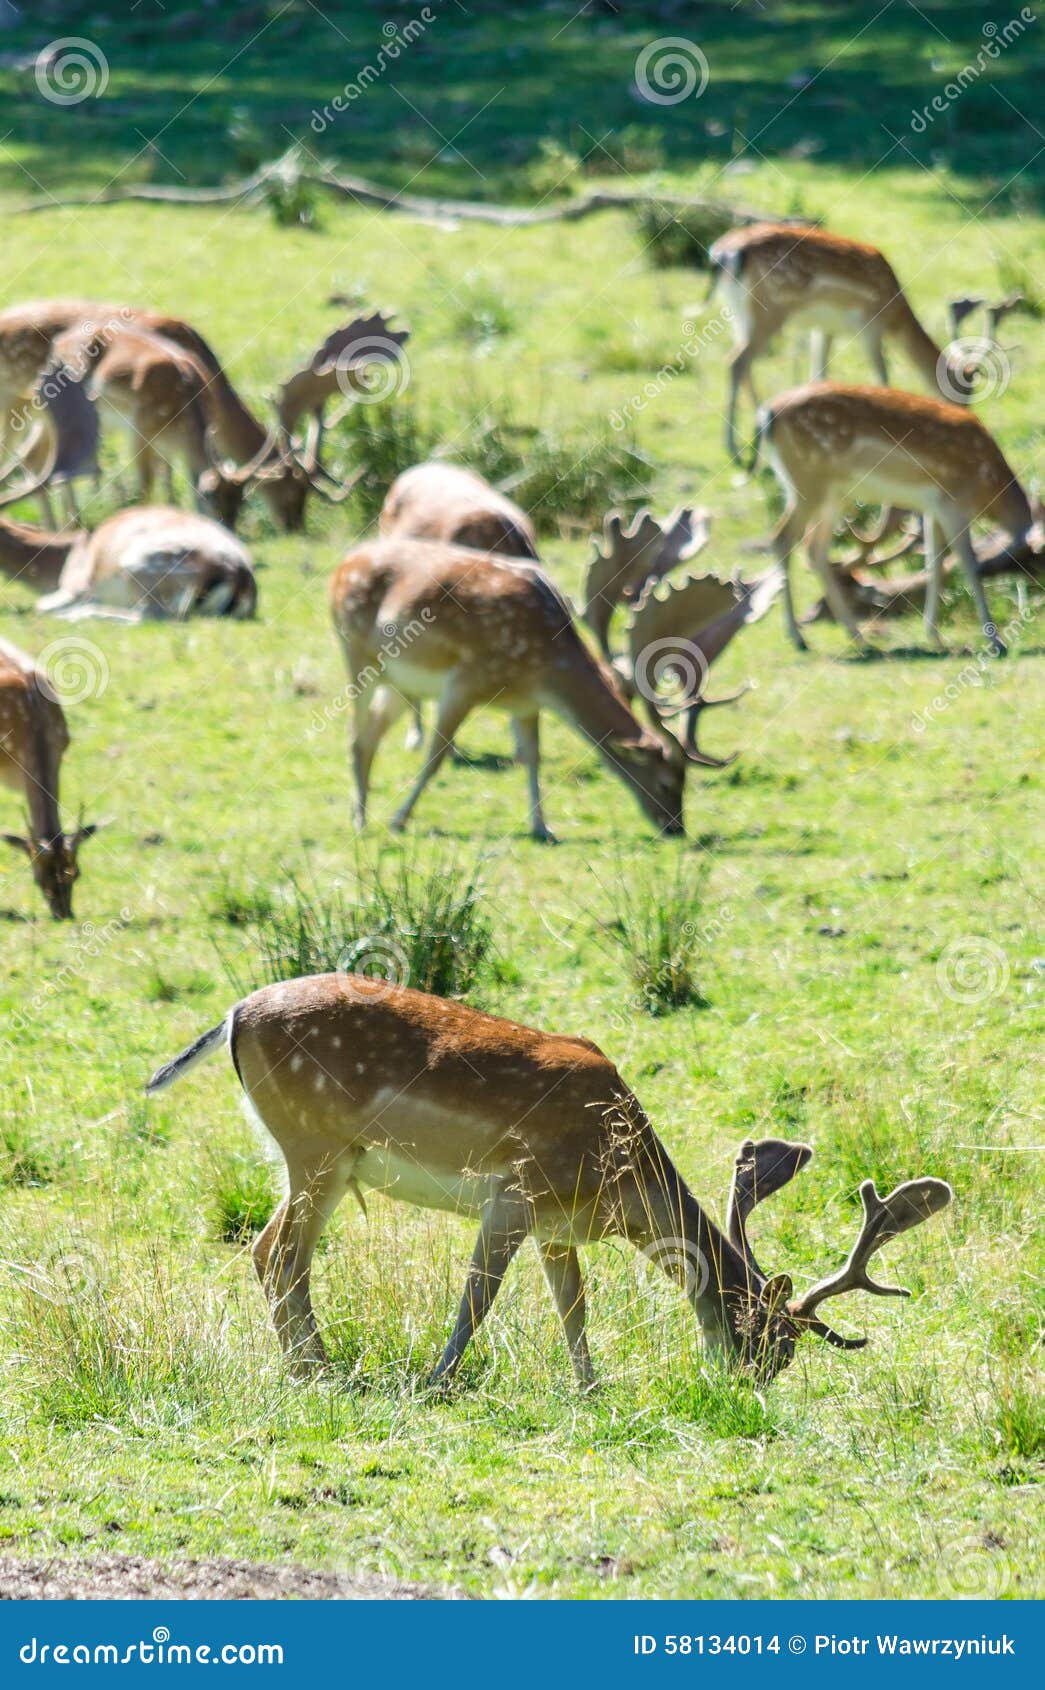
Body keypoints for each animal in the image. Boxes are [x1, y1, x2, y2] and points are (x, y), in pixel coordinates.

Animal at [146, 972, 954, 1390]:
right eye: (769, 1342)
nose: (746, 1391)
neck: (618, 1173)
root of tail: (234, 1014)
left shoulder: (557, 1230)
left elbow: (574, 1311)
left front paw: (591, 1389)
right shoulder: (516, 1194)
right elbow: (477, 1298)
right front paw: (436, 1382)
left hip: (314, 1159)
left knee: (269, 1251)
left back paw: (309, 1367)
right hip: (315, 1148)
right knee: (280, 1255)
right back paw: (319, 1373)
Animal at [329, 535, 717, 842]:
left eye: (685, 781)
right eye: (667, 782)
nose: (676, 828)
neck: (544, 668)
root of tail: (341, 566)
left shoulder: (527, 704)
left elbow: (533, 758)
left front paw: (543, 828)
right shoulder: (465, 681)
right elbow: (436, 757)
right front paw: (400, 819)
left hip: (398, 682)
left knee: (370, 735)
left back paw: (361, 812)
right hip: (356, 652)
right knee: (355, 735)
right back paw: (361, 820)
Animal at [708, 223, 973, 460]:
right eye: (963, 390)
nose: (966, 414)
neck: (895, 317)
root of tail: (724, 253)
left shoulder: (825, 329)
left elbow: (819, 371)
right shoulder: (871, 325)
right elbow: (883, 373)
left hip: (739, 316)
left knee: (740, 361)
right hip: (769, 311)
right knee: (737, 361)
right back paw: (732, 444)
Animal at [753, 382, 1035, 656]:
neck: (990, 486)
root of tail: (768, 413)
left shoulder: (932, 509)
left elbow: (935, 563)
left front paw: (934, 636)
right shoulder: (952, 502)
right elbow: (969, 564)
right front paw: (996, 642)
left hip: (832, 495)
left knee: (813, 549)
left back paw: (857, 638)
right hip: (810, 482)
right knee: (783, 539)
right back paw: (801, 638)